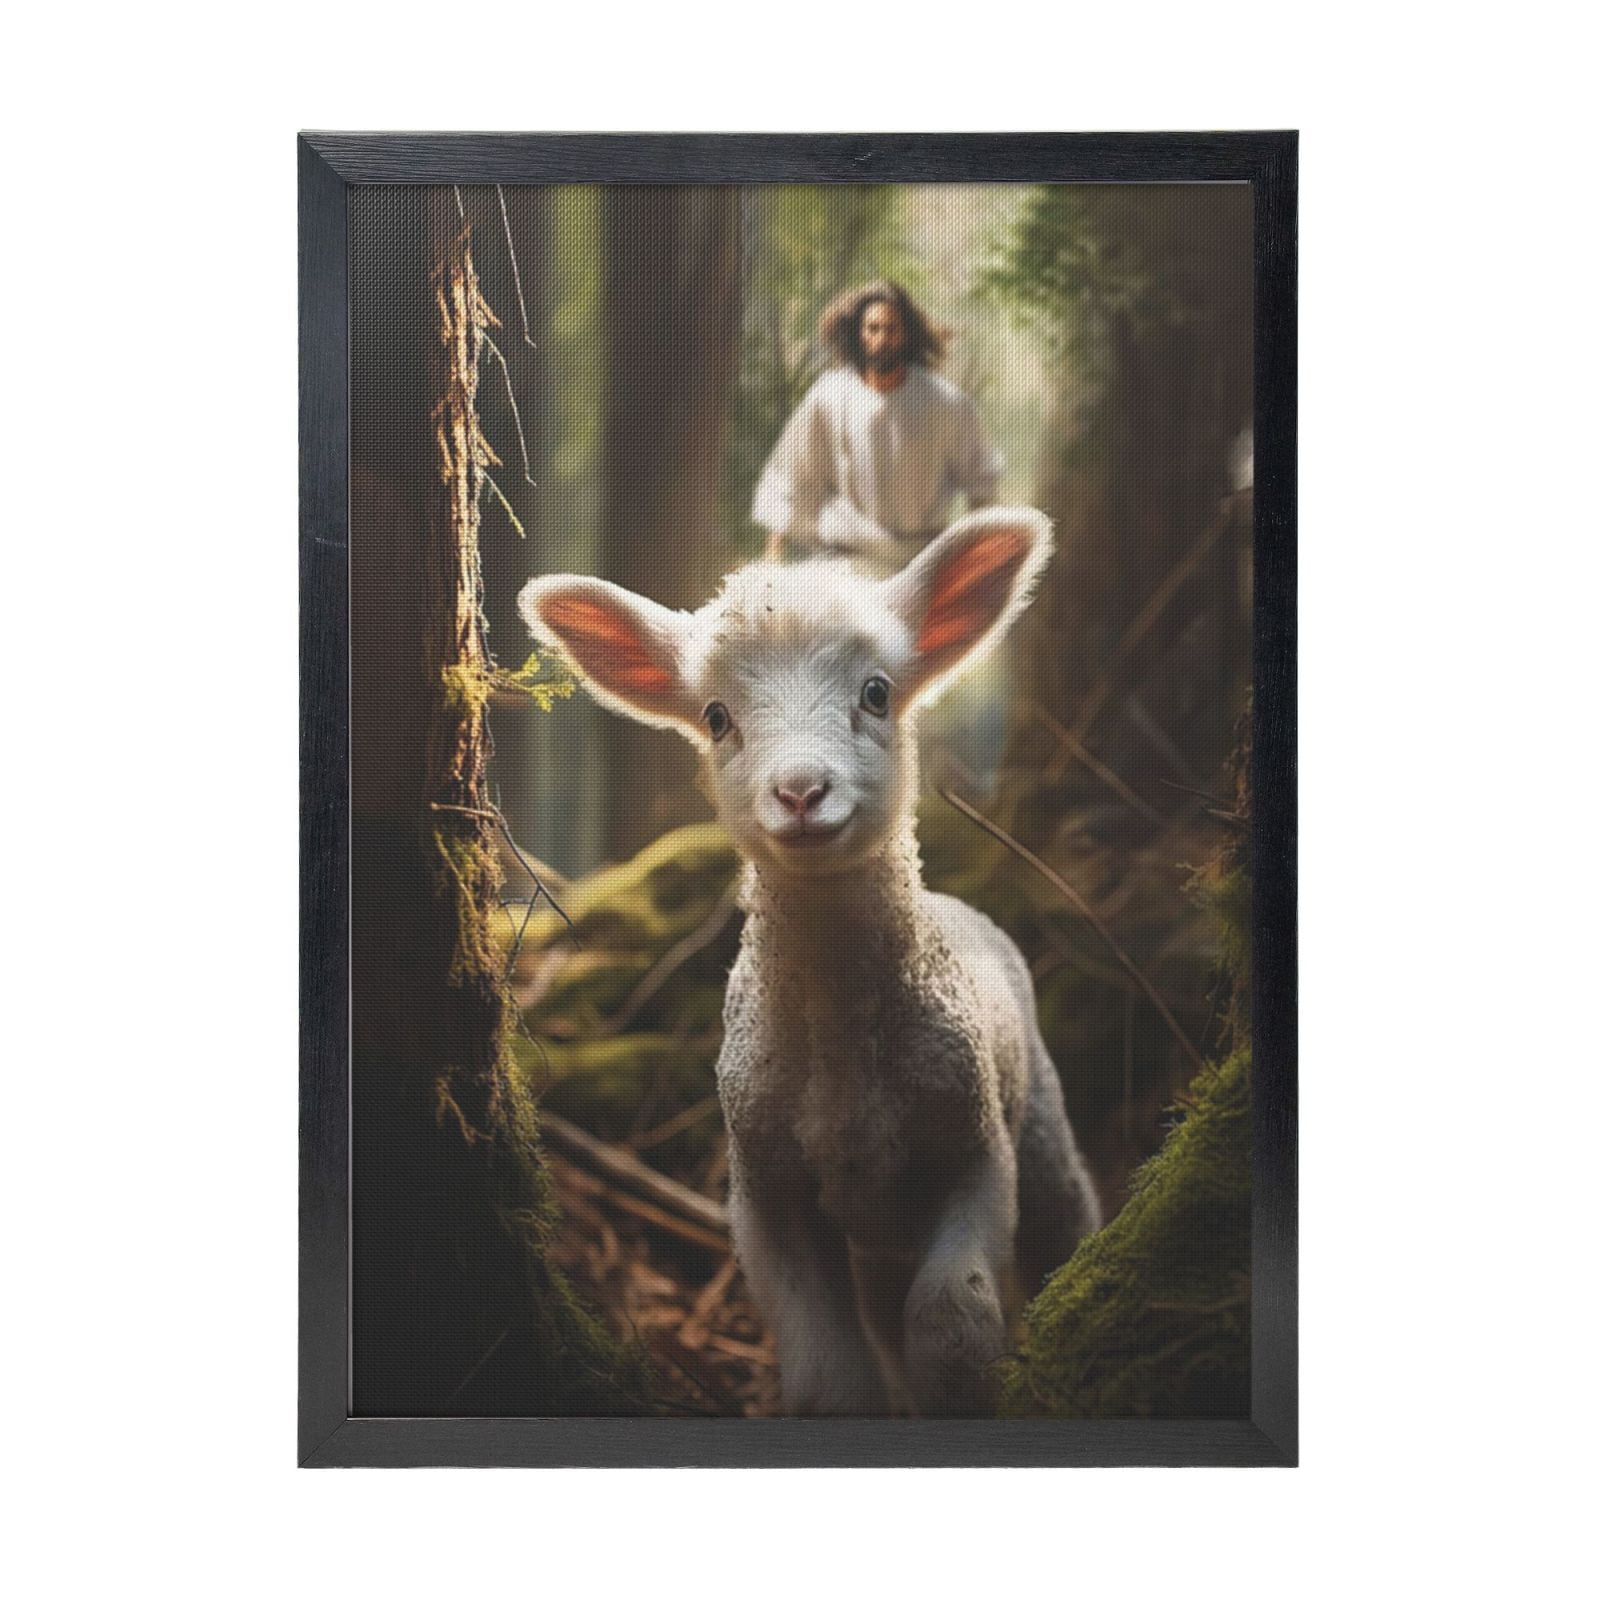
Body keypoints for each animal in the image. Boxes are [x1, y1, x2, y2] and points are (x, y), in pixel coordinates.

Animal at [520, 507, 1101, 1415]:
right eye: (716, 716)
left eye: (877, 692)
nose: (800, 792)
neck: (842, 1063)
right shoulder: (765, 1195)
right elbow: (832, 1377)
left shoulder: (976, 1155)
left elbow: (951, 1319)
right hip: (877, 1230)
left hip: (1036, 1117)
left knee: (1065, 1217)